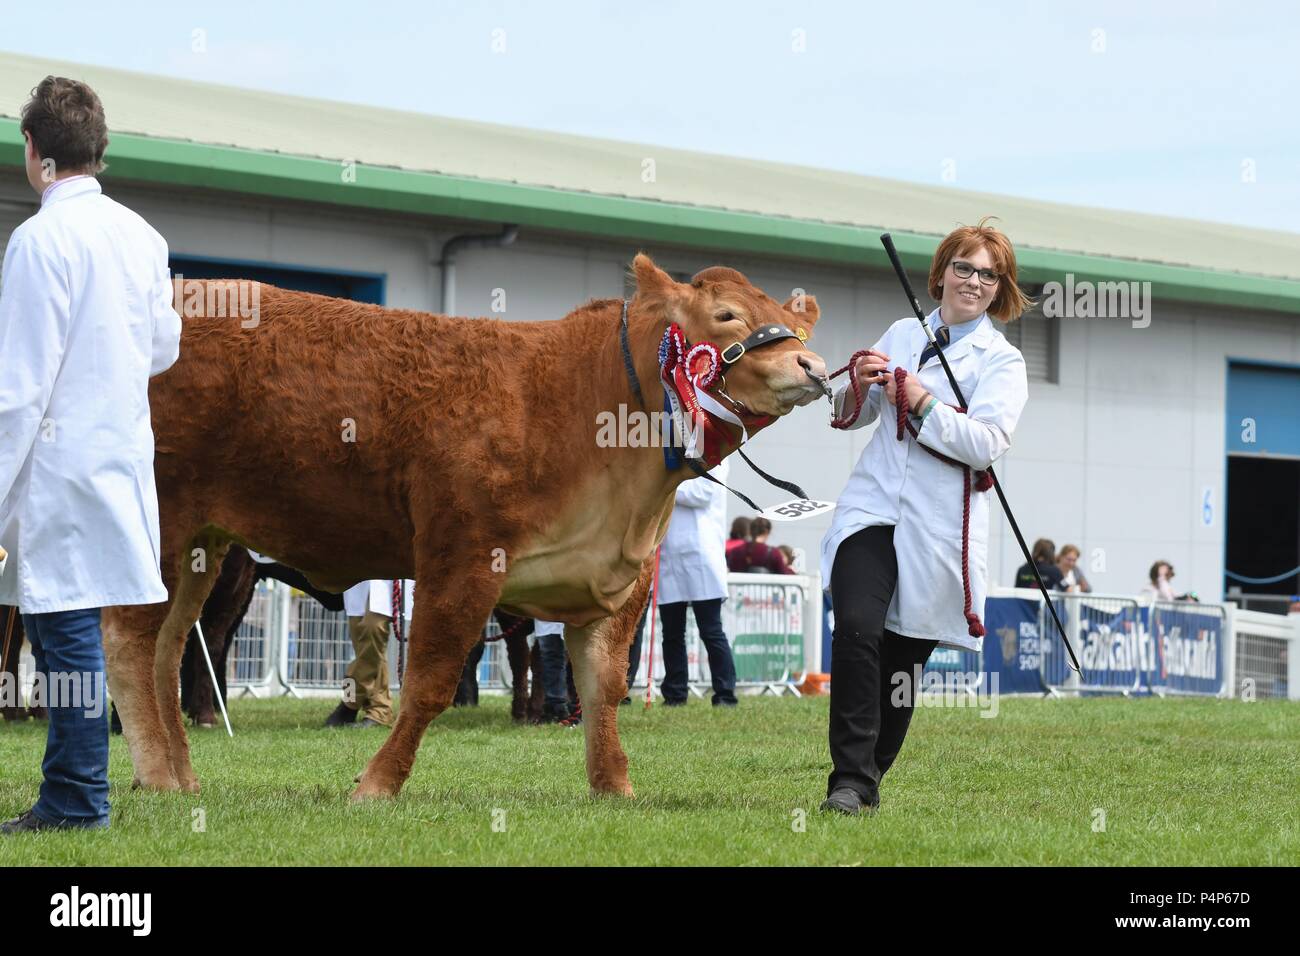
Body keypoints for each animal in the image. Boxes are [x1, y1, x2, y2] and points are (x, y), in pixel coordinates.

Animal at [103, 254, 826, 800]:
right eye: (727, 316)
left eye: (796, 326)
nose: (814, 368)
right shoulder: (465, 554)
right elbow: (429, 682)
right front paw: (376, 785)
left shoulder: (619, 581)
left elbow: (604, 687)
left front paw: (613, 785)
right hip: (163, 519)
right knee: (131, 640)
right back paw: (158, 774)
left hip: (205, 545)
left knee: (169, 646)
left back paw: (180, 774)